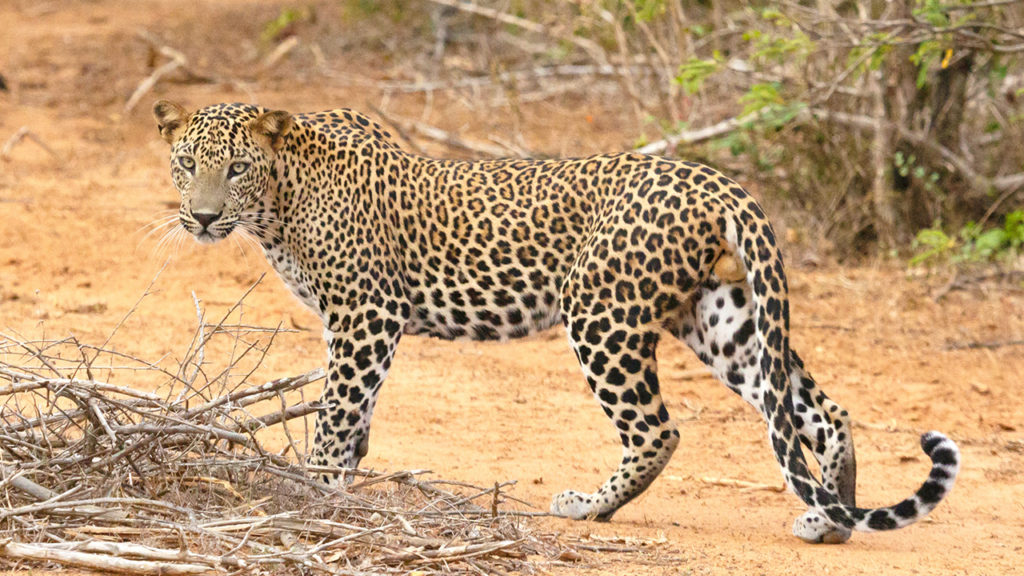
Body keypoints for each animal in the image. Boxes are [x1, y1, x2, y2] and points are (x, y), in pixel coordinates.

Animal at [153, 100, 960, 543]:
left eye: (236, 169)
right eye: (186, 163)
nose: (203, 217)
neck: (280, 202)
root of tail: (717, 180)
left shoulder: (365, 314)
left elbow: (336, 411)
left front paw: (315, 492)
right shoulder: (360, 323)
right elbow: (356, 418)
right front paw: (340, 486)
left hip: (601, 312)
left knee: (659, 429)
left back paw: (586, 508)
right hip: (721, 318)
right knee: (816, 411)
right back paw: (831, 518)